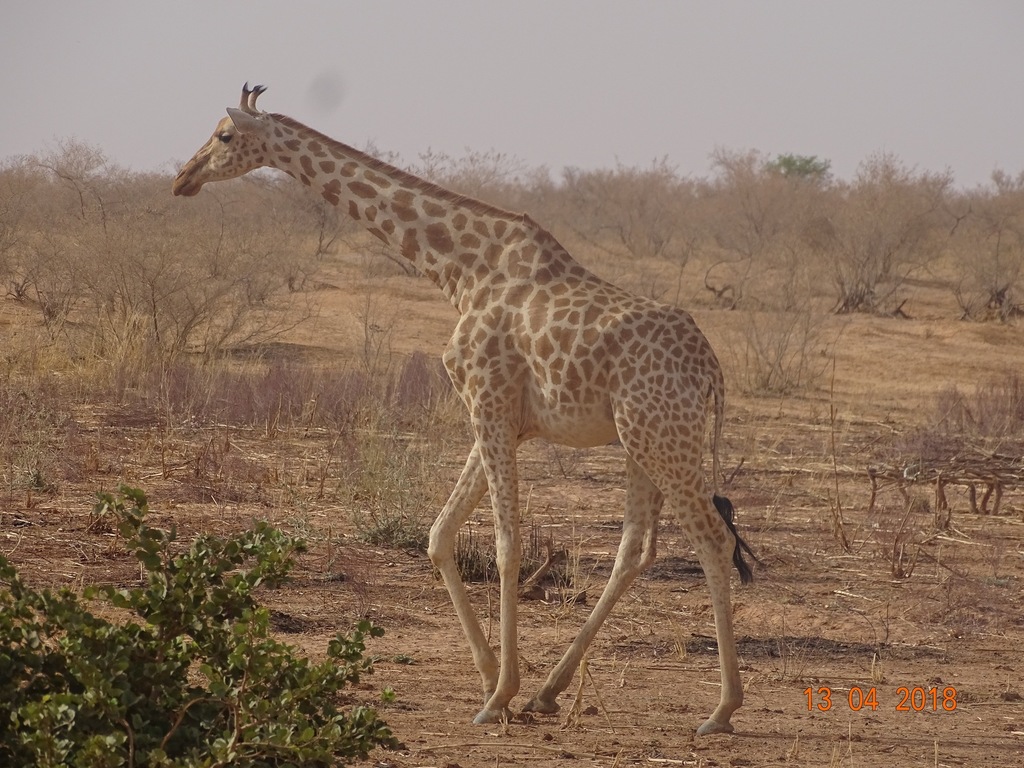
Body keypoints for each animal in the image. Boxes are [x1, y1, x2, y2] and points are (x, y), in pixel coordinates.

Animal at [173, 84, 757, 735]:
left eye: (224, 136)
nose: (182, 178)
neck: (458, 269)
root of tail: (711, 368)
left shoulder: (488, 404)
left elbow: (506, 547)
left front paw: (499, 693)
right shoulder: (497, 417)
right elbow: (438, 534)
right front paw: (493, 680)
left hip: (662, 436)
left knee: (712, 539)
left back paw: (721, 710)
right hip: (640, 441)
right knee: (636, 549)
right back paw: (550, 691)